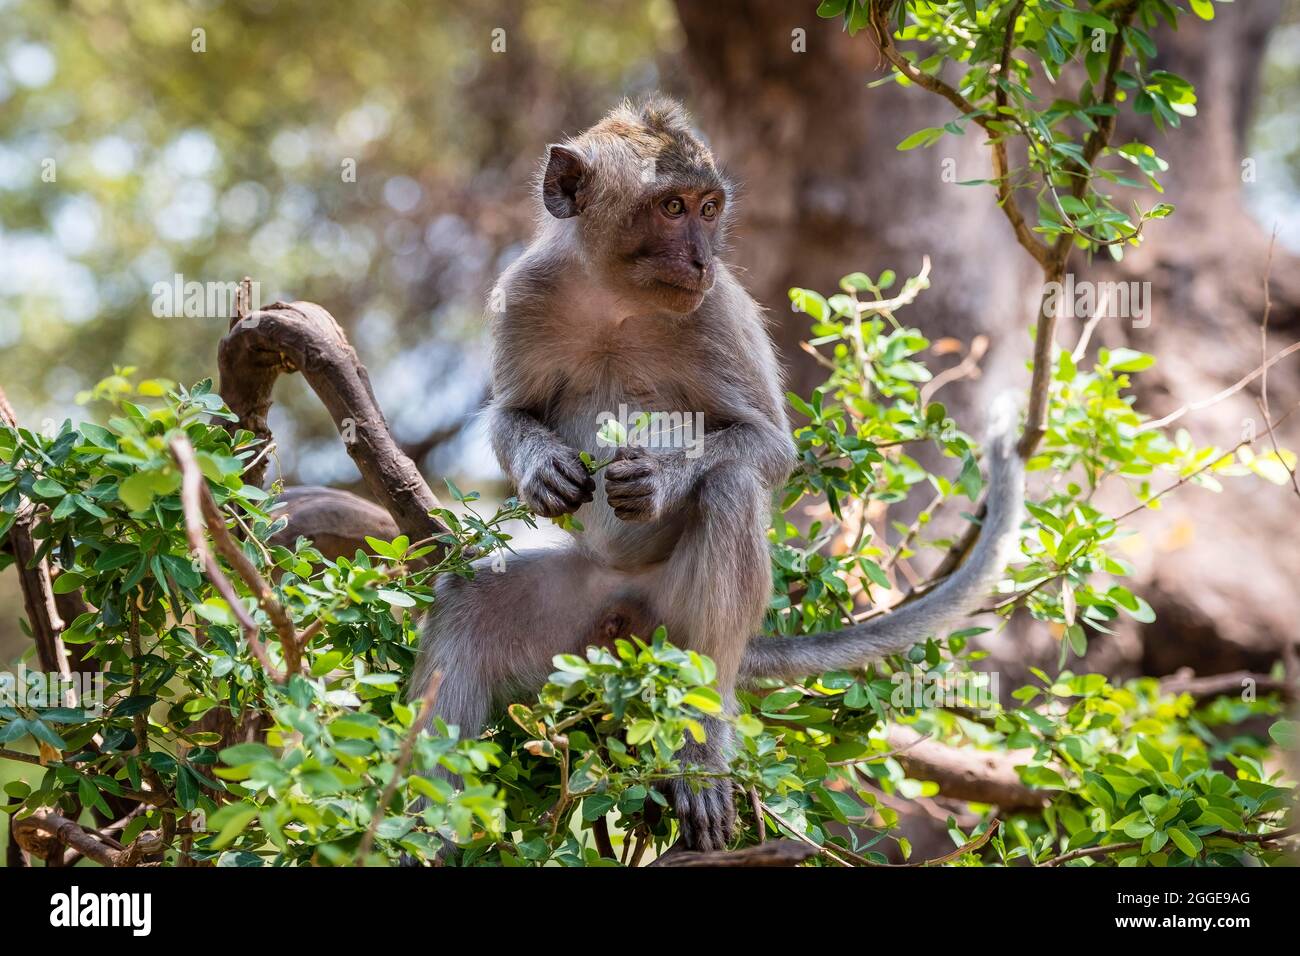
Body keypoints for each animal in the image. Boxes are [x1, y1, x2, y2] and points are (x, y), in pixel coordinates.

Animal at [412, 96, 1024, 853]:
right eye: (671, 207)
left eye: (708, 208)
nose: (703, 256)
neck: (614, 299)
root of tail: (626, 614)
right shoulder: (525, 292)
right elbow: (512, 413)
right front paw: (543, 471)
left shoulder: (716, 311)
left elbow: (765, 446)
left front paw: (657, 478)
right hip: (575, 616)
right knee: (464, 611)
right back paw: (423, 833)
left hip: (678, 628)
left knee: (730, 493)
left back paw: (700, 744)